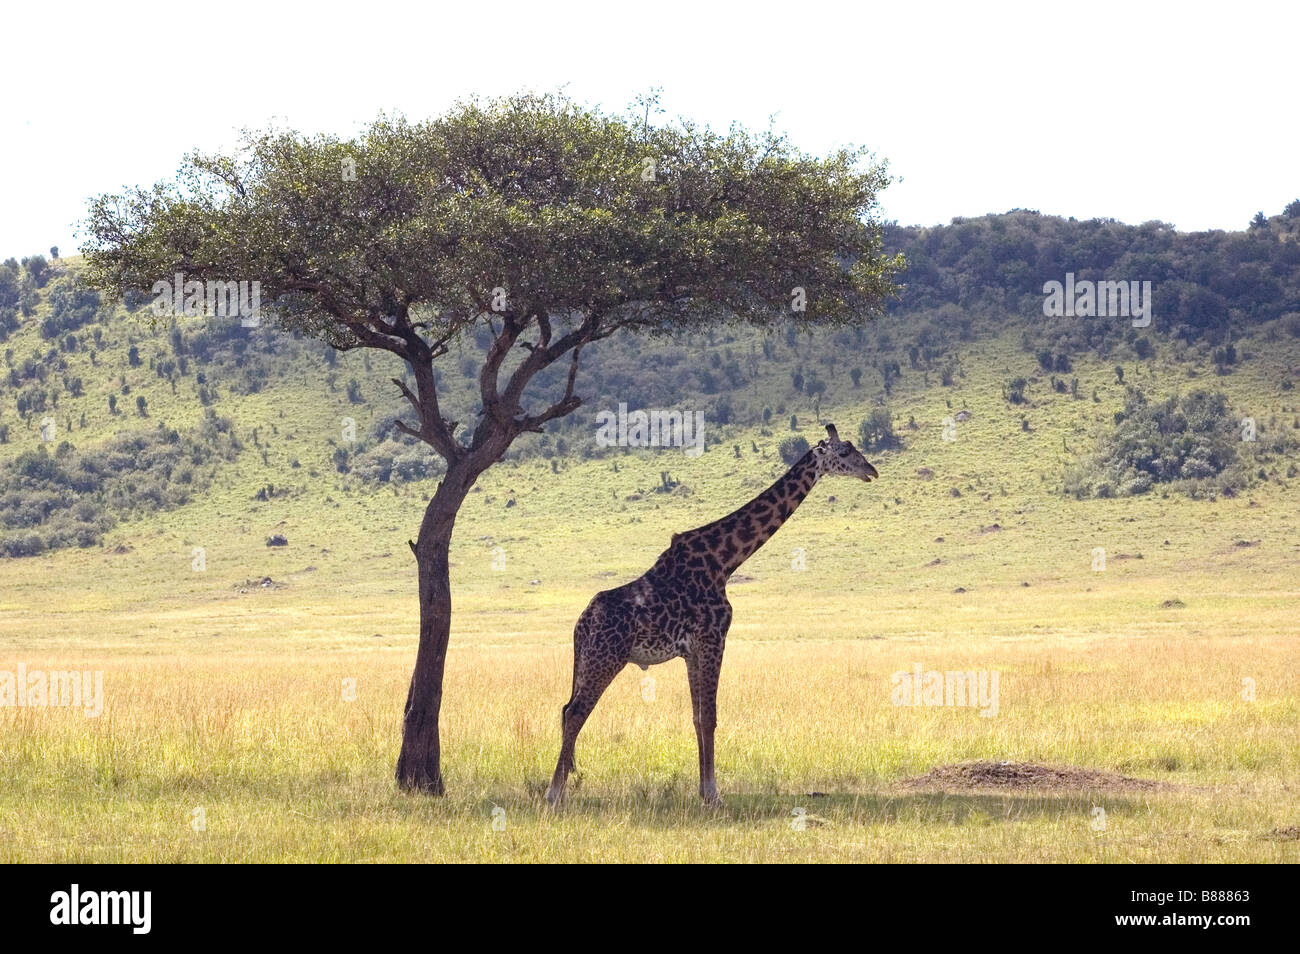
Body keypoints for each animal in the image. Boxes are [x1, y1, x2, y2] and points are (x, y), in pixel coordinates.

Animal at [545, 423, 878, 805]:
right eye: (845, 453)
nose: (871, 470)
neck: (725, 561)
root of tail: (582, 623)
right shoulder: (714, 638)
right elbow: (710, 716)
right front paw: (714, 795)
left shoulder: (691, 651)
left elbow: (696, 716)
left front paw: (704, 791)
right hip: (607, 657)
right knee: (575, 712)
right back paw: (553, 794)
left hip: (587, 659)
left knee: (565, 709)